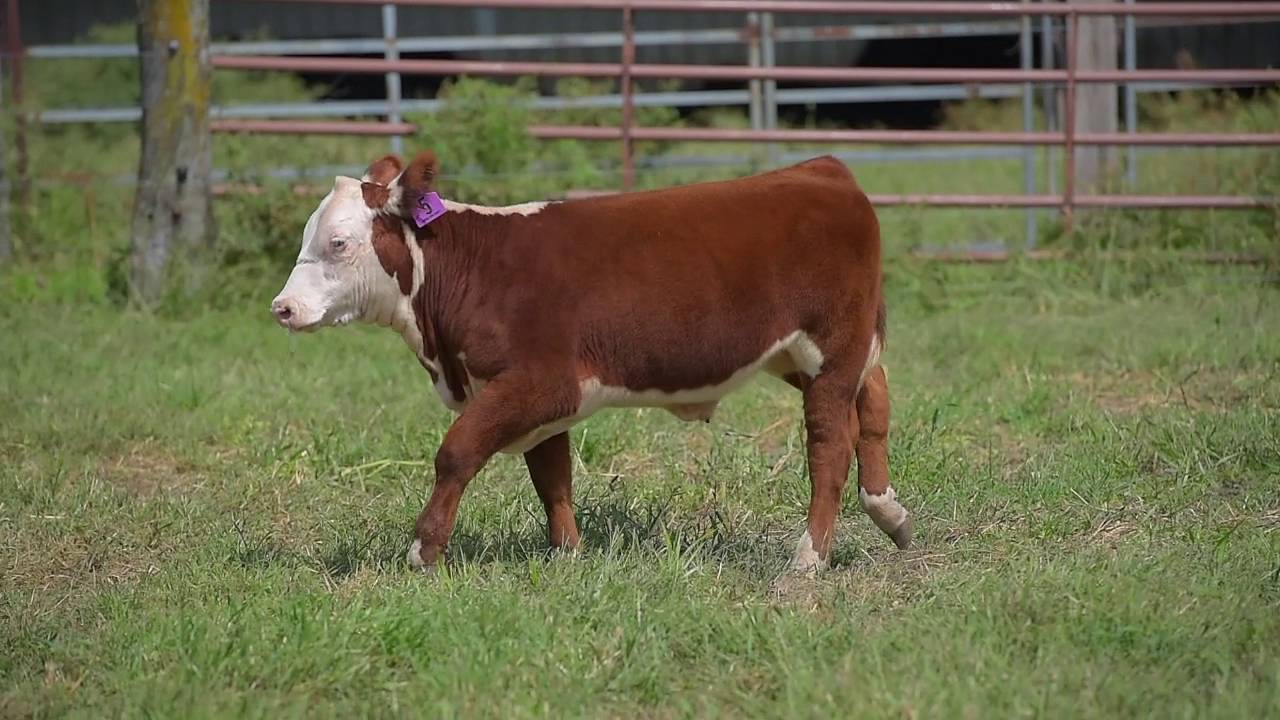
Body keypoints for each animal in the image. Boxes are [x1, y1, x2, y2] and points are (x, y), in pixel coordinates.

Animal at [270, 150, 911, 574]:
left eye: (338, 243)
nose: (283, 307)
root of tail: (820, 168)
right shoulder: (537, 397)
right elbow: (551, 474)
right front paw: (568, 556)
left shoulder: (538, 381)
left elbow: (457, 452)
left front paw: (423, 551)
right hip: (808, 353)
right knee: (874, 401)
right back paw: (890, 514)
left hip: (832, 349)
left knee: (830, 444)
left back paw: (809, 559)